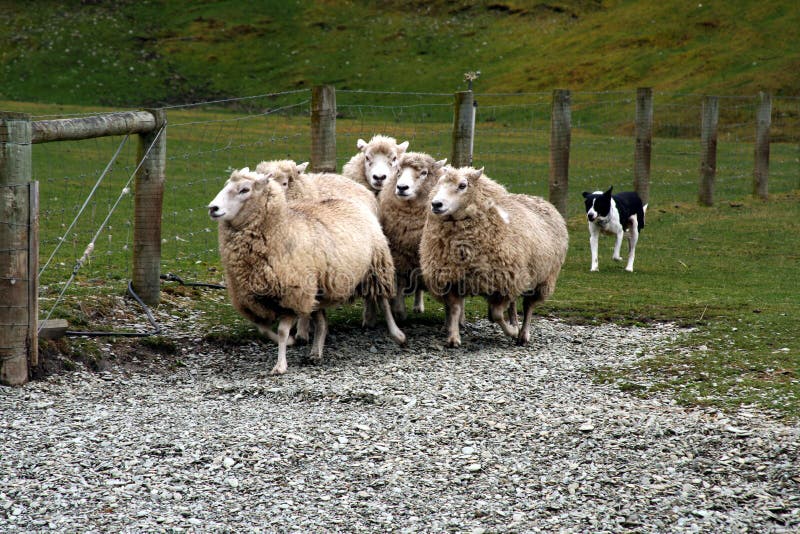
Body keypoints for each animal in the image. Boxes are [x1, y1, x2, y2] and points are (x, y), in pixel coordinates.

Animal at [208, 167, 406, 375]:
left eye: (245, 189)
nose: (212, 208)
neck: (282, 230)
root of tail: (353, 201)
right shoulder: (254, 298)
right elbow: (263, 328)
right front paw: (291, 342)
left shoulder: (293, 293)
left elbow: (282, 331)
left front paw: (280, 364)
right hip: (319, 288)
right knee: (322, 323)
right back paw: (316, 352)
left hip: (377, 267)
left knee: (383, 301)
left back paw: (398, 335)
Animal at [377, 151, 446, 320]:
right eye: (398, 171)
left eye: (424, 173)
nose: (402, 187)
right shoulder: (399, 256)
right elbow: (400, 284)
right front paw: (399, 312)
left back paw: (418, 306)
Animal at [420, 166, 568, 347]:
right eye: (439, 182)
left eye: (463, 185)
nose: (436, 204)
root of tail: (539, 199)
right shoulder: (452, 278)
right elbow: (455, 309)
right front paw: (453, 337)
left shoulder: (501, 281)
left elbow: (496, 314)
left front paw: (512, 332)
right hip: (519, 275)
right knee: (513, 303)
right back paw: (514, 322)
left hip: (543, 278)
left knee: (528, 306)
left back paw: (523, 334)